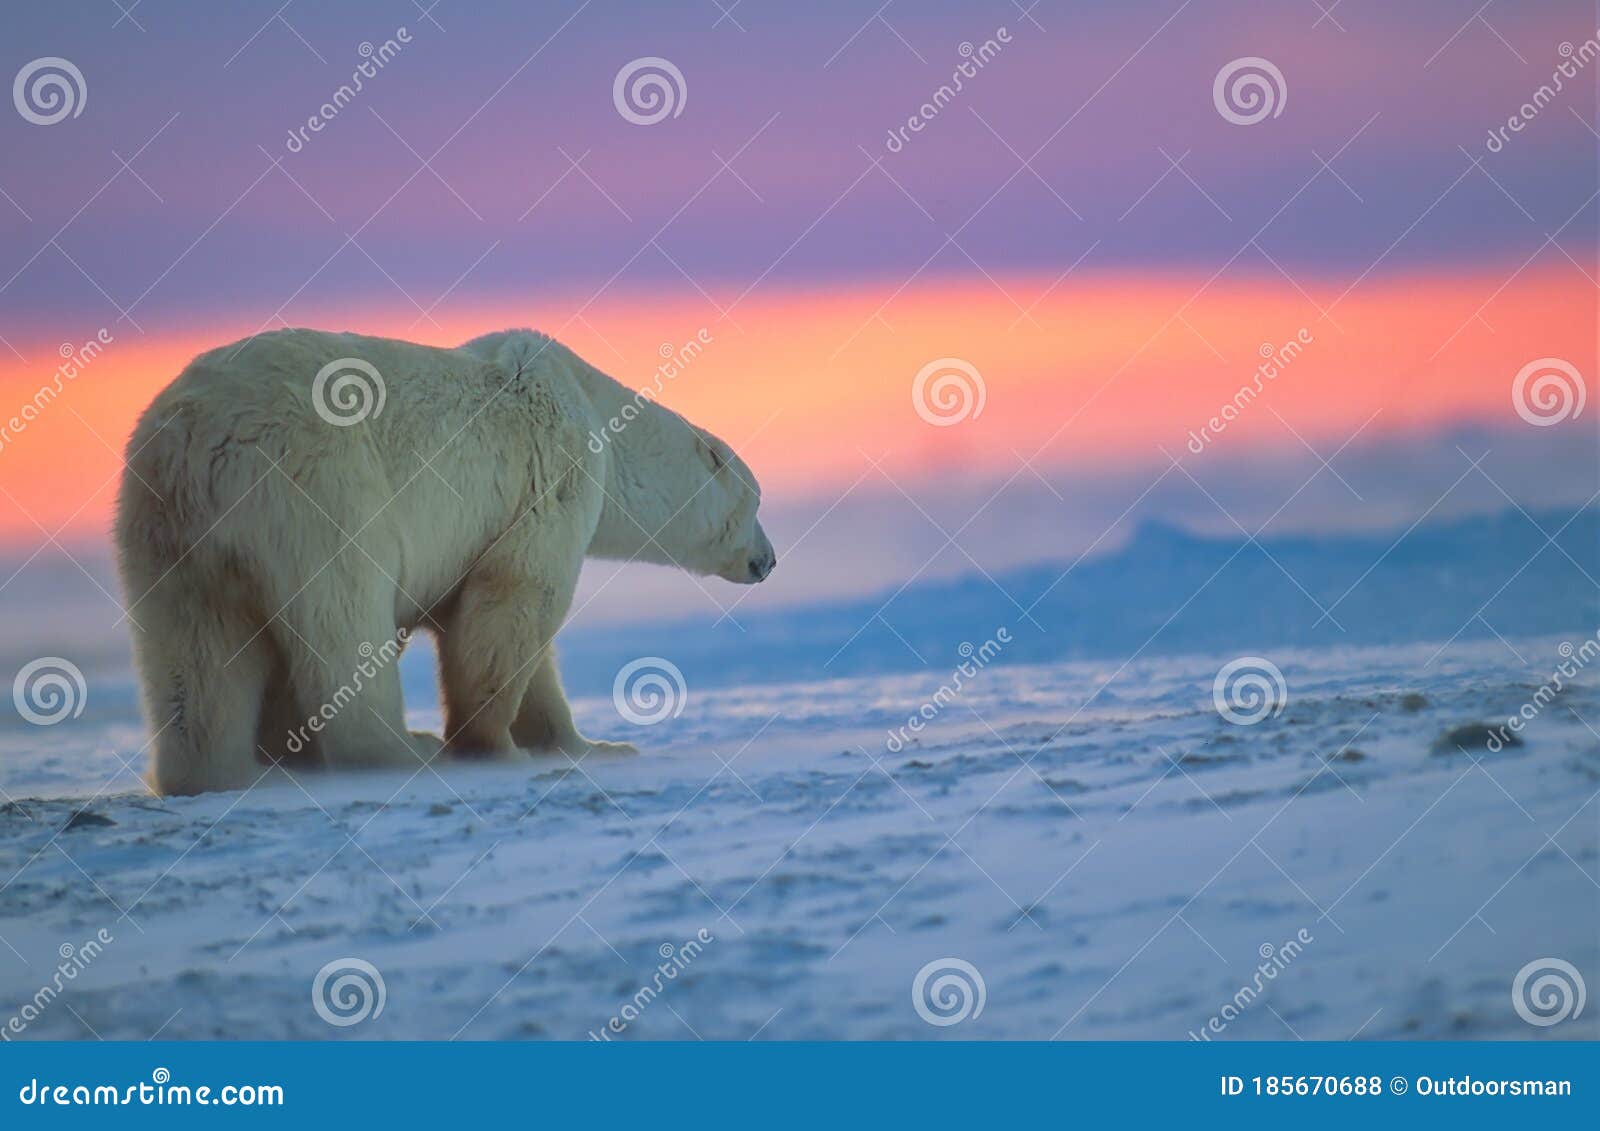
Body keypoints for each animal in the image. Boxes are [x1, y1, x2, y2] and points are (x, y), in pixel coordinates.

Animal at [113, 327, 775, 796]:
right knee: (345, 610)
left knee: (193, 654)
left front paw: (585, 745)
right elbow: (516, 598)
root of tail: (194, 439)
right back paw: (403, 747)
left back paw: (211, 773)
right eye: (755, 503)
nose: (767, 562)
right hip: (317, 482)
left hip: (165, 532)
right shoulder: (549, 474)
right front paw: (492, 746)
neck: (596, 411)